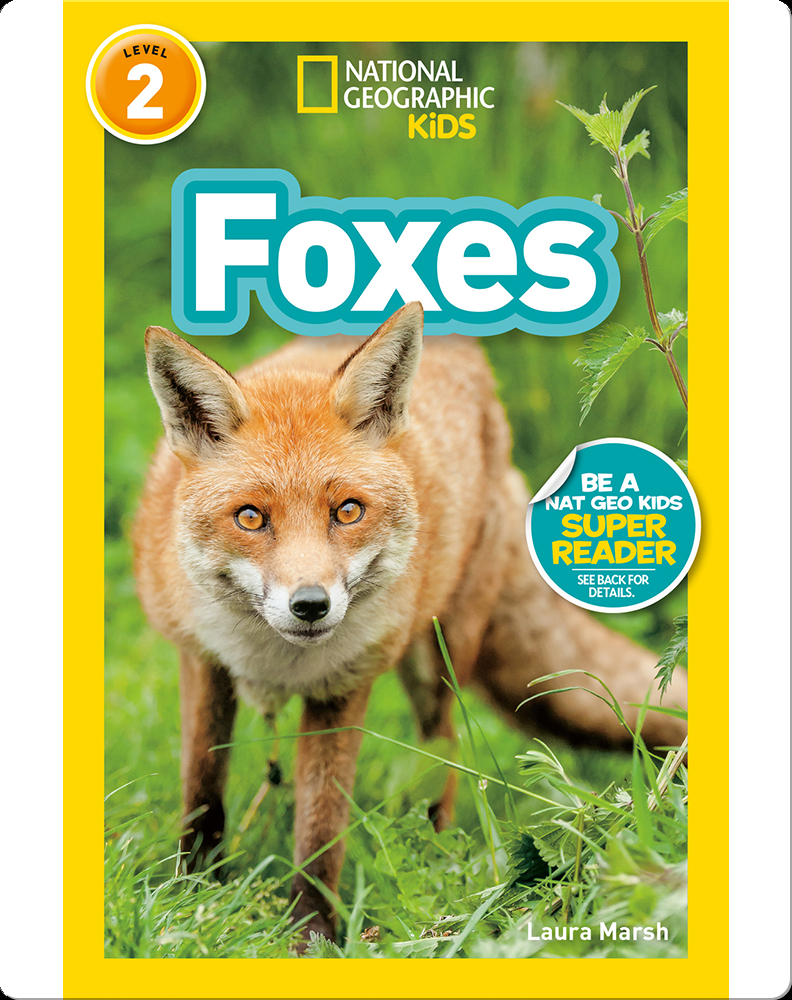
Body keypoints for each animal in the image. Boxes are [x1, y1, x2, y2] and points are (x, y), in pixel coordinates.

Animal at [133, 300, 686, 946]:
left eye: (348, 511)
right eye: (250, 518)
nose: (310, 605)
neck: (272, 658)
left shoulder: (342, 689)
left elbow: (320, 830)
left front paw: (312, 937)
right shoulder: (203, 661)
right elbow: (202, 790)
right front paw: (191, 895)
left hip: (439, 659)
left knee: (443, 754)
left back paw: (439, 860)